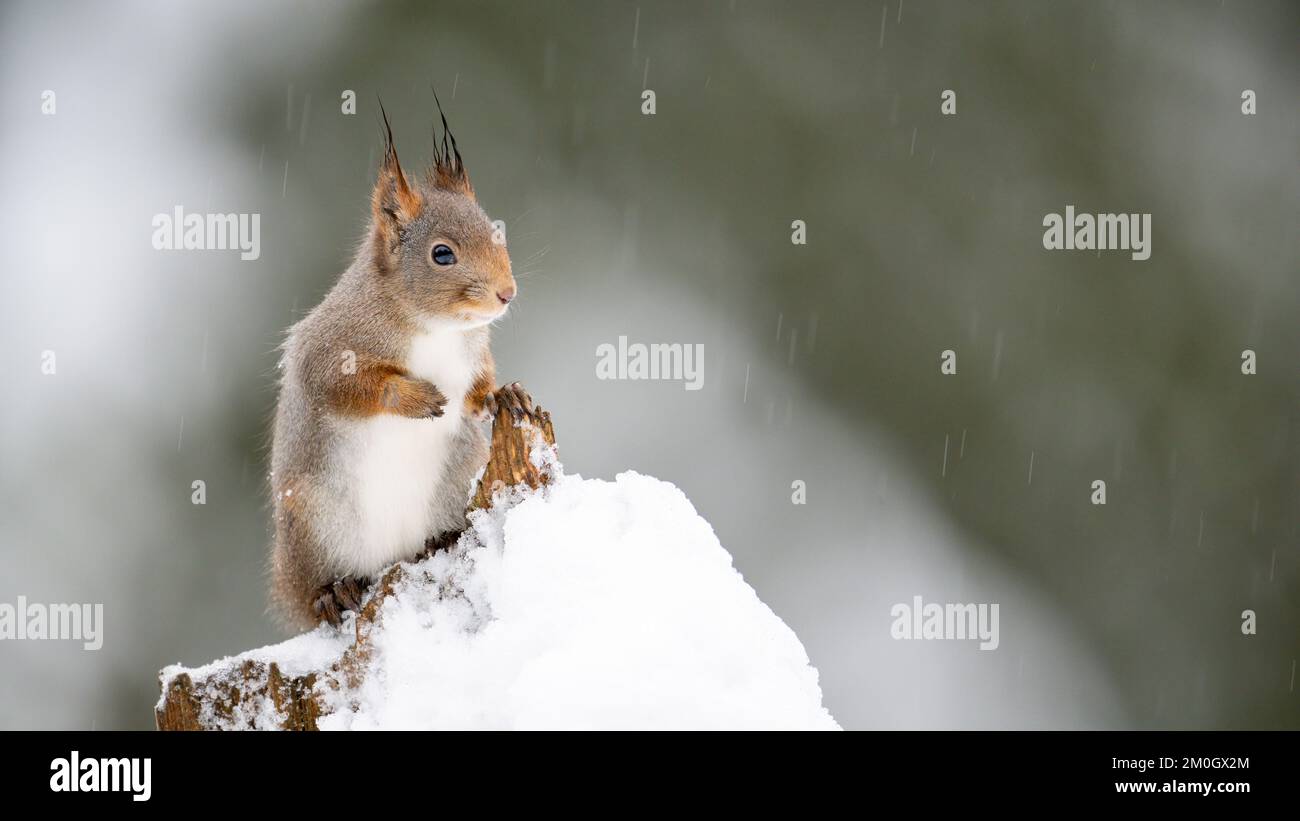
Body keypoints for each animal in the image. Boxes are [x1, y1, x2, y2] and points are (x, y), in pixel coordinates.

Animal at [269, 101, 533, 629]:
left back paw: (442, 539)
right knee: (313, 593)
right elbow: (343, 387)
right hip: (310, 523)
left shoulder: (473, 355)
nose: (507, 293)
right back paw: (332, 593)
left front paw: (504, 395)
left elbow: (478, 391)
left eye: (498, 233)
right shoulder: (327, 348)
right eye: (442, 254)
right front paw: (414, 397)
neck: (433, 327)